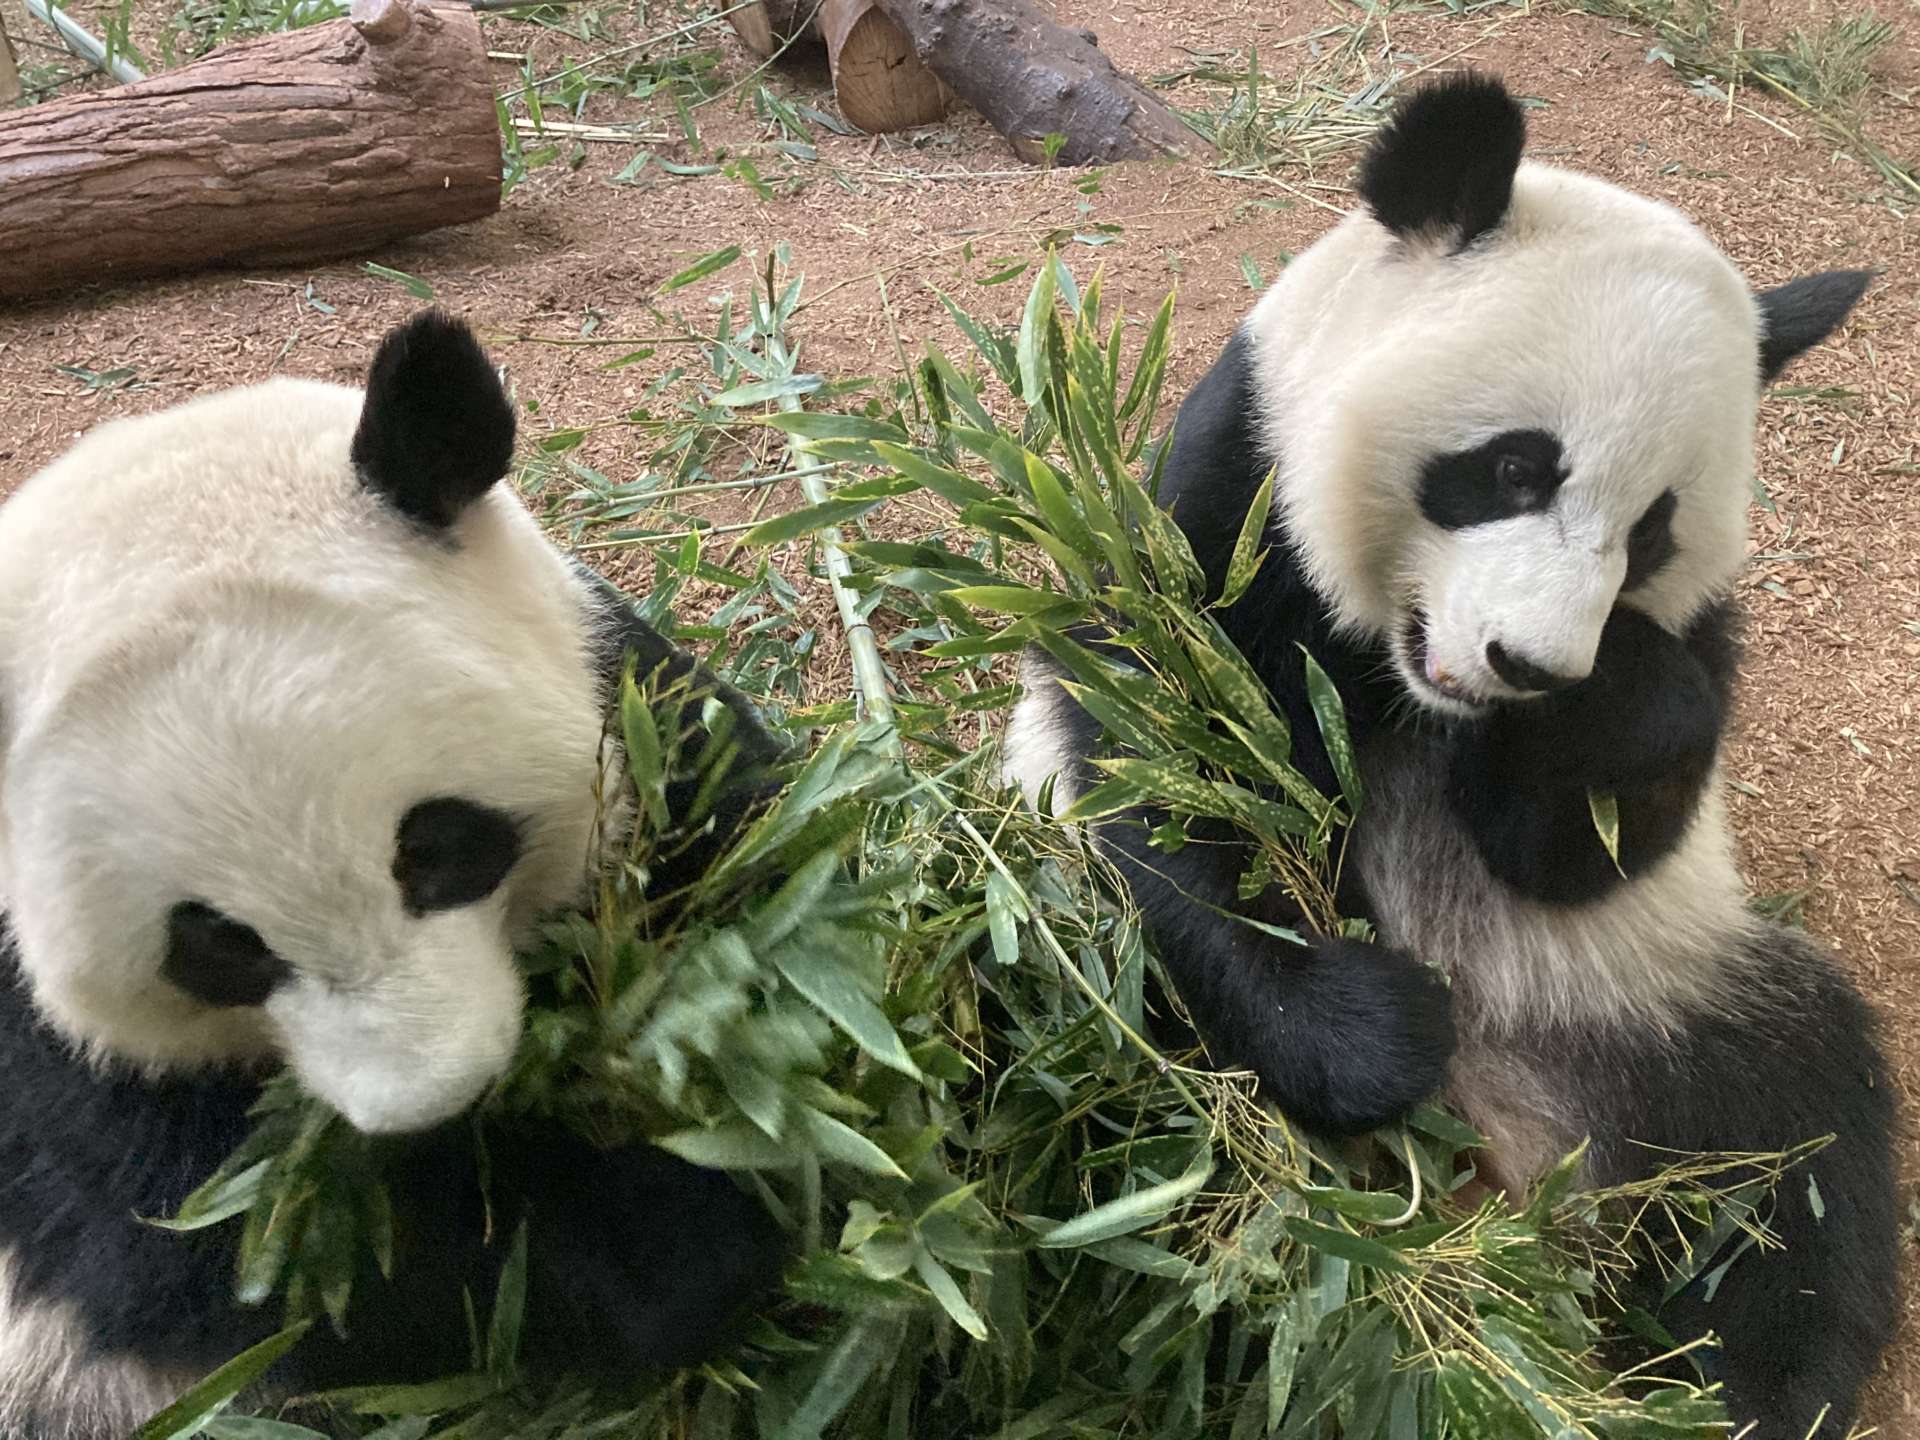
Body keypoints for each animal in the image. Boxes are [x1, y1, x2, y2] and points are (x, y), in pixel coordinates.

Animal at [0, 312, 789, 1437]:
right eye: (220, 947)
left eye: (436, 849)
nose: (437, 1096)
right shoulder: (36, 1055)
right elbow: (244, 1249)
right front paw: (678, 1230)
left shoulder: (632, 713)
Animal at [1002, 74, 1896, 1436]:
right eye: (1514, 468)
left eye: (1651, 533)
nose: (1528, 663)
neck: (1405, 681)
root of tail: (1514, 1162)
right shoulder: (1232, 491)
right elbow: (1165, 754)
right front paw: (1368, 1033)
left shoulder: (1666, 656)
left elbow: (1579, 842)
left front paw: (1612, 710)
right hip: (1098, 1006)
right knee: (1097, 1085)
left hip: (1654, 998)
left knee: (1799, 1156)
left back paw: (1740, 1385)